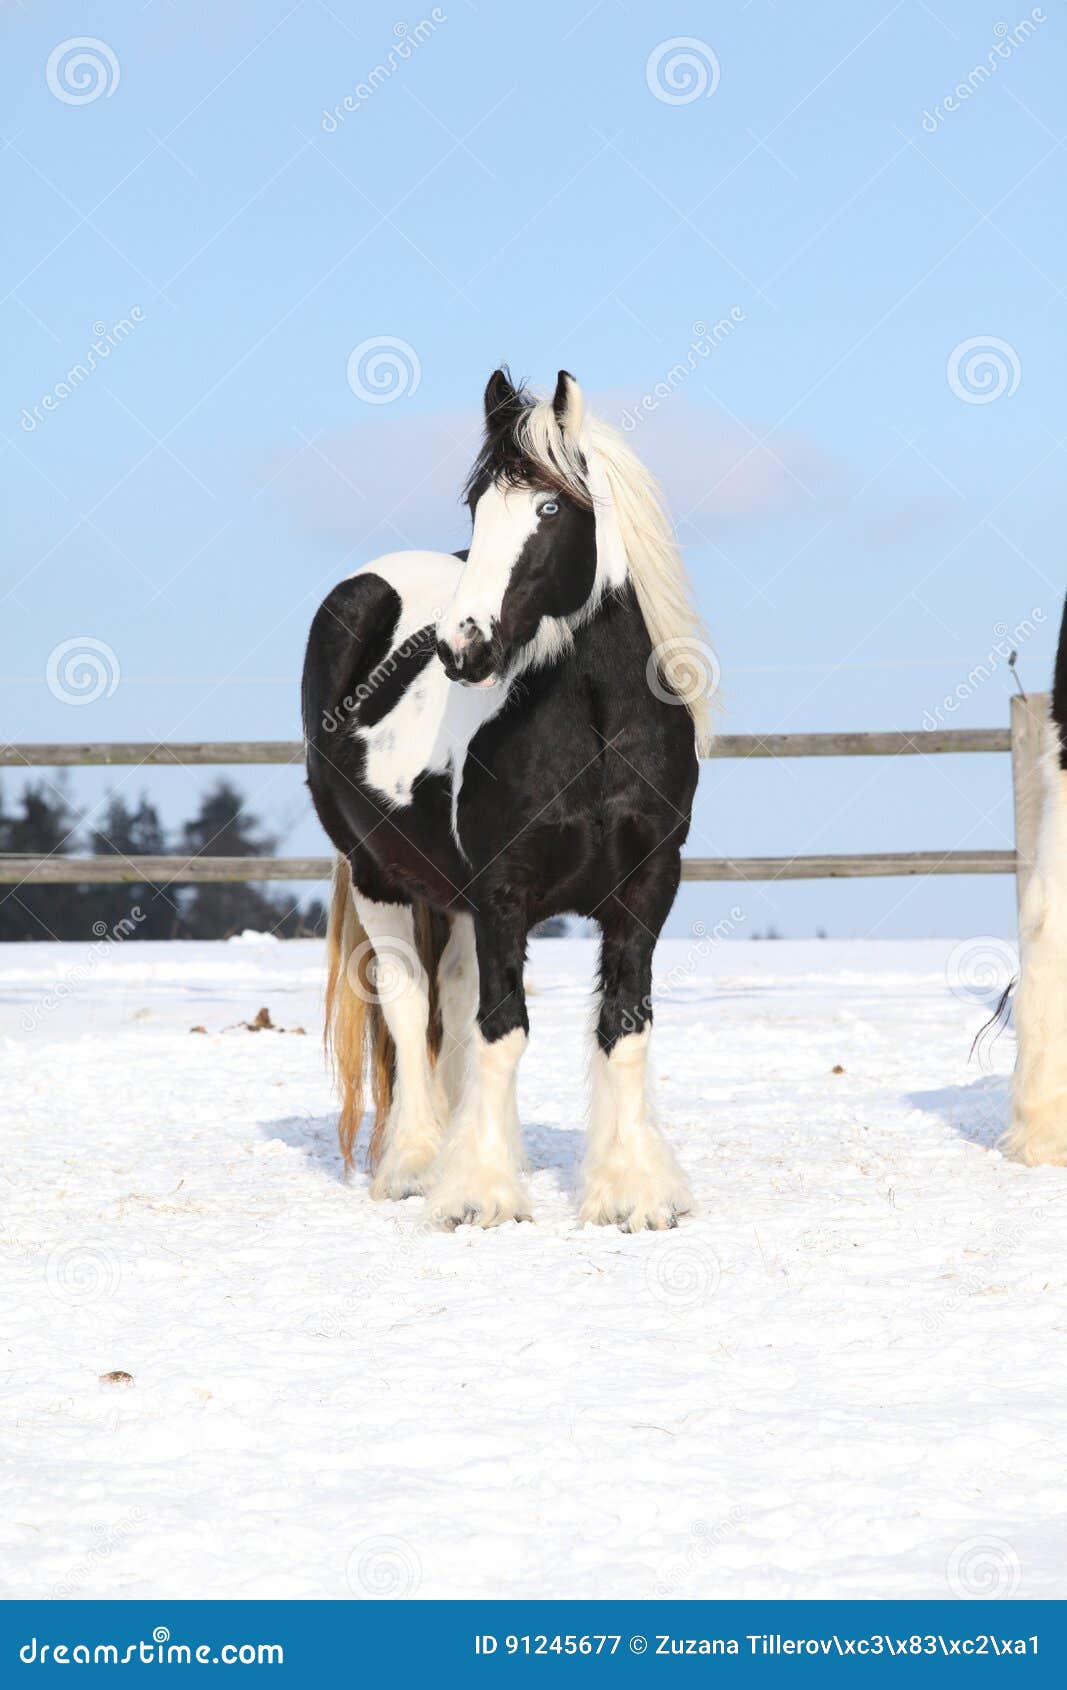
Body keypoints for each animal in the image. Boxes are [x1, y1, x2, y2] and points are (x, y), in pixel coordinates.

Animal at [302, 367, 714, 1230]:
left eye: (551, 508)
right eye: (477, 507)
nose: (464, 647)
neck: (594, 724)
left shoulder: (646, 887)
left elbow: (621, 1028)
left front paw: (632, 1194)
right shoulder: (503, 891)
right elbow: (502, 1030)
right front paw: (479, 1195)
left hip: (450, 899)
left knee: (450, 1000)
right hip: (376, 874)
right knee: (405, 999)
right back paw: (415, 1163)